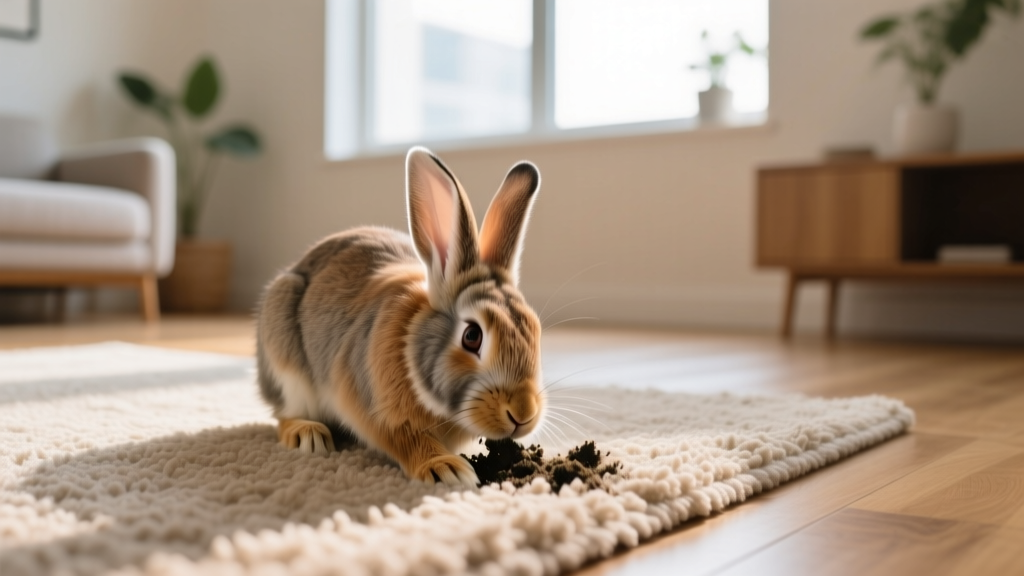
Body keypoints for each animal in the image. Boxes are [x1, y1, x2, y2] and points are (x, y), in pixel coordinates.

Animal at [255, 147, 545, 486]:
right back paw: (308, 434)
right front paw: (447, 469)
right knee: (284, 414)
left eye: (536, 329)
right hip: (286, 363)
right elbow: (407, 440)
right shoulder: (377, 410)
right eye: (472, 336)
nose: (523, 414)